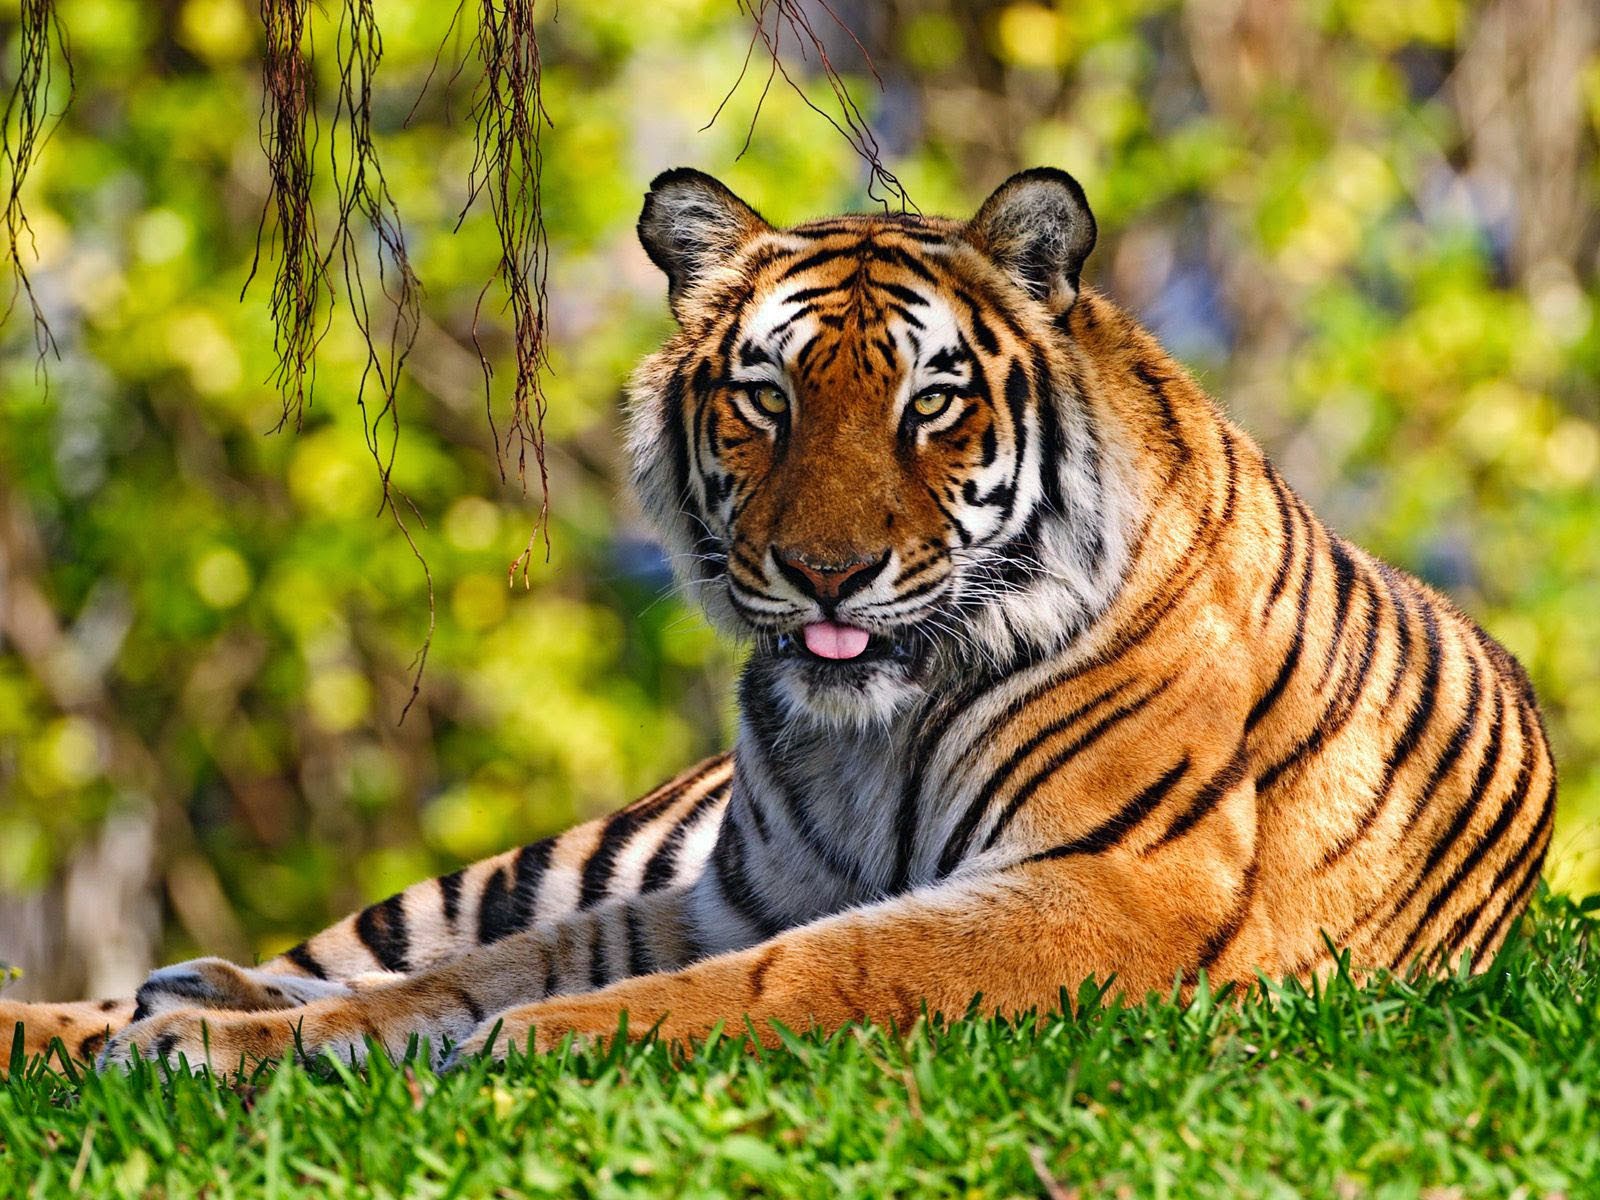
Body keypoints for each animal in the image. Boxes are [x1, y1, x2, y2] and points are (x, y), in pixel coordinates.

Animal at [1, 167, 1556, 1074]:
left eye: (931, 401)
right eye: (767, 396)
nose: (825, 573)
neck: (868, 733)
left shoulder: (1109, 888)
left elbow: (806, 971)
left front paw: (528, 1043)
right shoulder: (726, 889)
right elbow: (463, 974)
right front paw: (217, 1042)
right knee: (348, 951)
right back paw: (147, 1006)